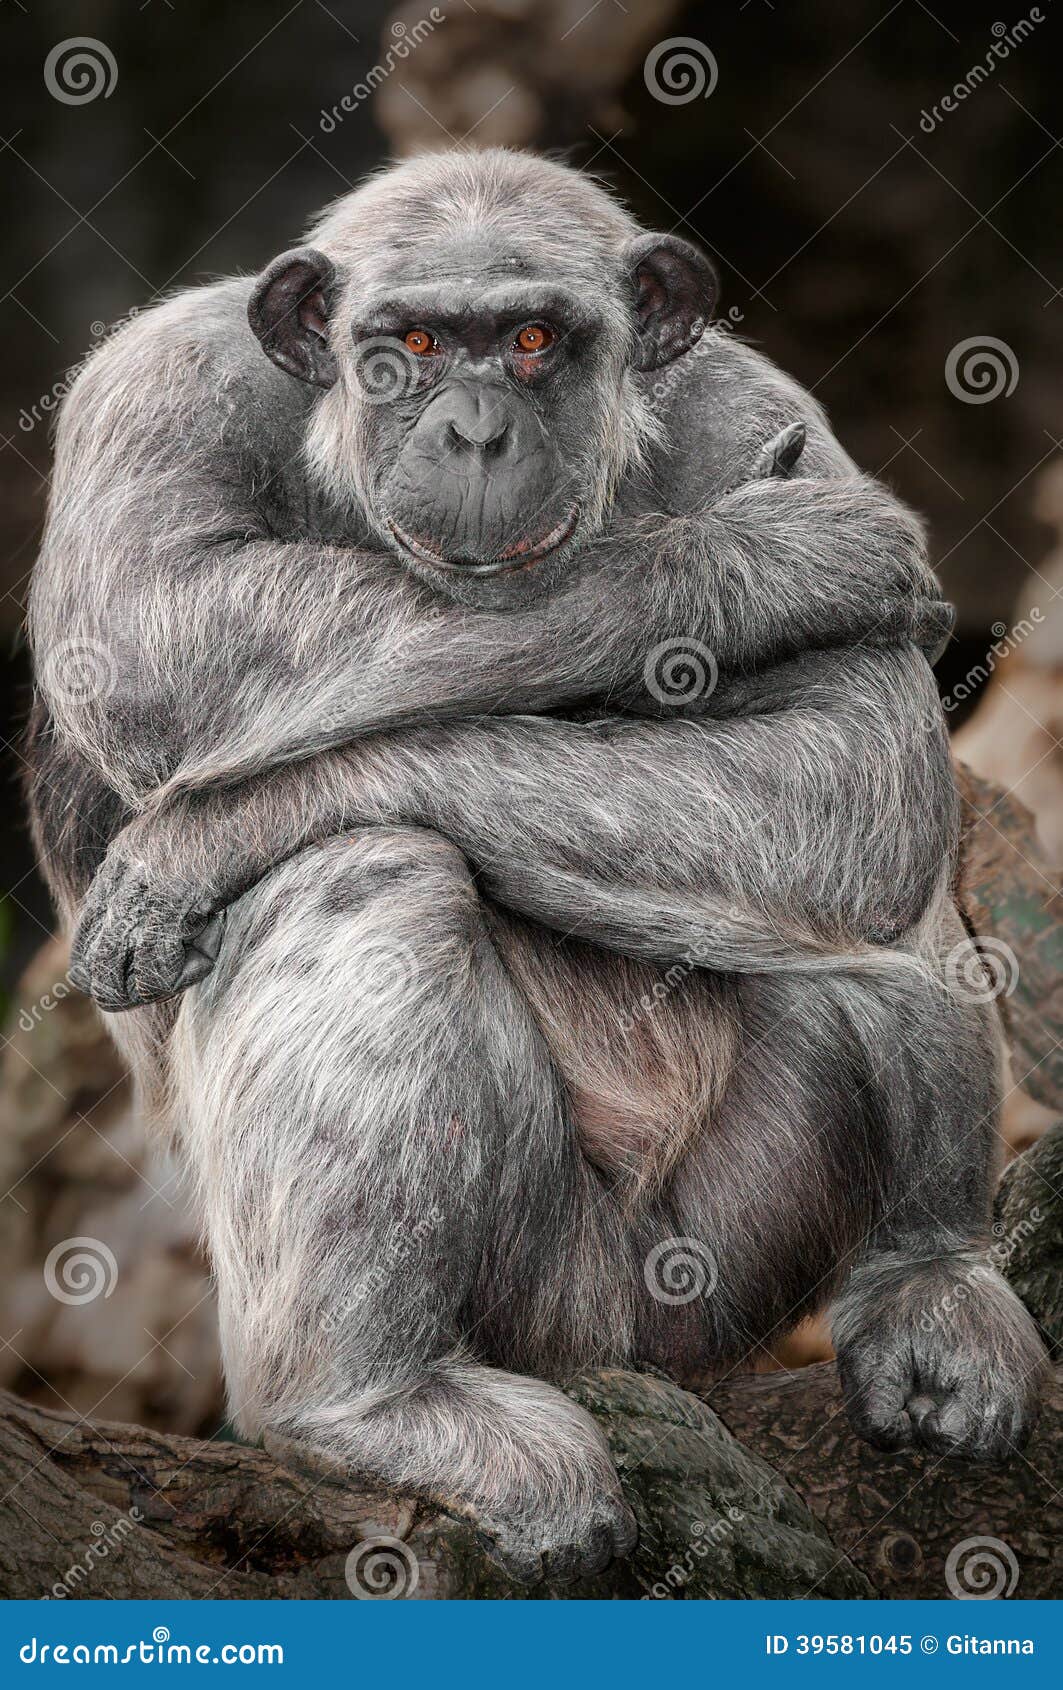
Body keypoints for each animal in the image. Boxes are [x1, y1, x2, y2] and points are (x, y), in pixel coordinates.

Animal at [27, 149, 1046, 1586]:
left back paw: (928, 1275)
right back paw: (368, 1402)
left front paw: (219, 824)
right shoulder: (153, 394)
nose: (472, 428)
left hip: (722, 1264)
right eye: (406, 347)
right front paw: (773, 561)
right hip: (542, 1298)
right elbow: (153, 621)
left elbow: (848, 759)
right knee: (365, 873)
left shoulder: (761, 405)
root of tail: (637, 1344)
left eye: (529, 341)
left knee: (867, 895)